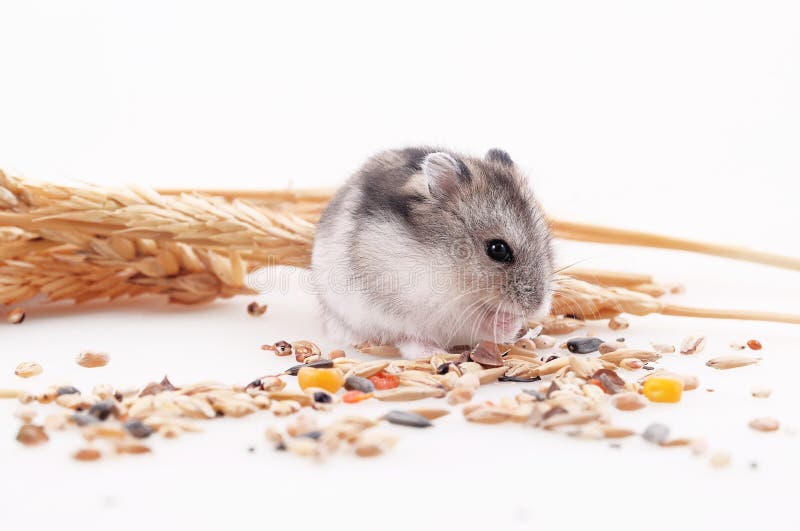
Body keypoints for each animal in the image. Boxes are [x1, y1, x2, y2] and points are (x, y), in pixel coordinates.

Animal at [311, 147, 554, 359]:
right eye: (498, 249)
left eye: (546, 241)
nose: (536, 308)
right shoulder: (430, 299)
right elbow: (474, 318)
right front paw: (507, 320)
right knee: (406, 339)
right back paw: (433, 353)